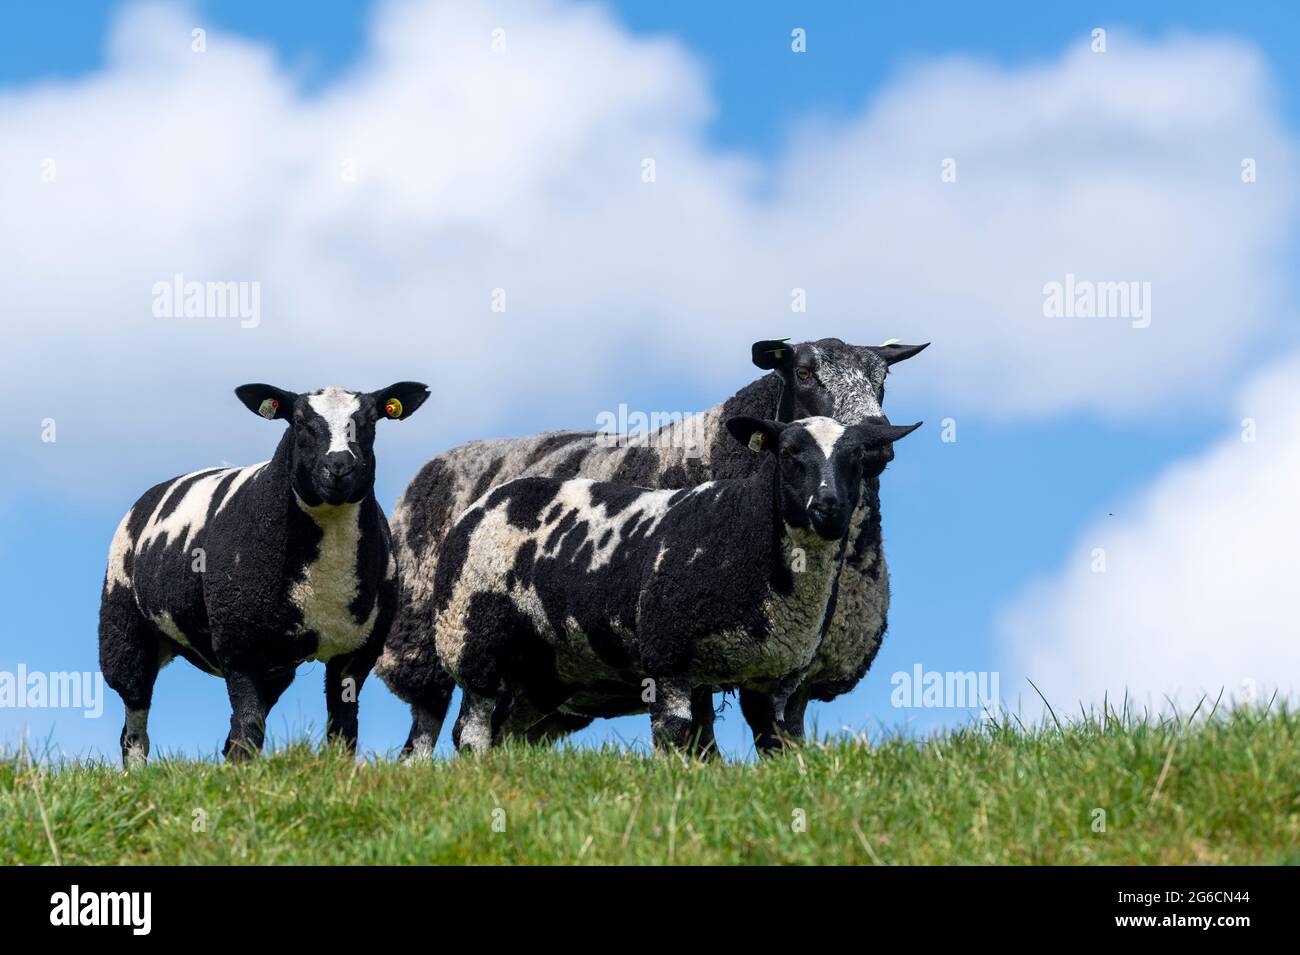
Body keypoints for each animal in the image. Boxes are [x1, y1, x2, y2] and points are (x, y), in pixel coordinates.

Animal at [98, 381, 429, 767]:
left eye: (372, 420)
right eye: (298, 421)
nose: (339, 466)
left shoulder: (358, 650)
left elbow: (343, 728)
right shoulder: (240, 642)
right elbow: (249, 726)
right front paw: (244, 775)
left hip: (275, 663)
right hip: (124, 624)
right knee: (134, 717)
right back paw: (134, 771)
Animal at [377, 337, 927, 757]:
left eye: (882, 379)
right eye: (805, 373)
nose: (879, 440)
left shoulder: (797, 666)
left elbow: (782, 737)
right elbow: (700, 739)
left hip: (541, 672)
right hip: (434, 634)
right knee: (426, 726)